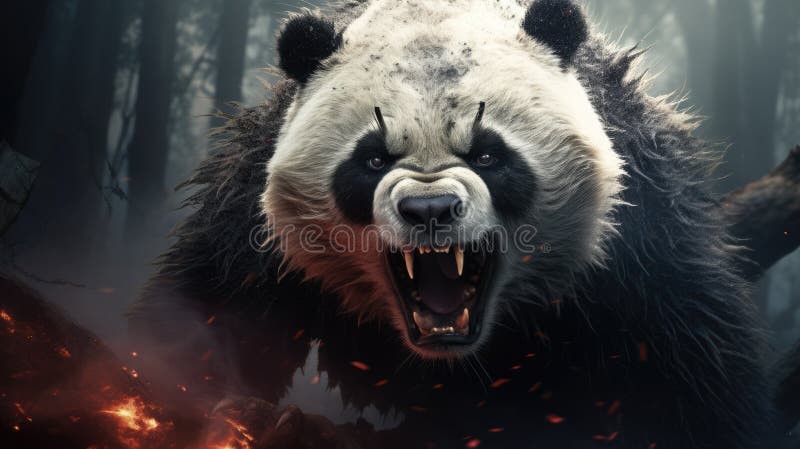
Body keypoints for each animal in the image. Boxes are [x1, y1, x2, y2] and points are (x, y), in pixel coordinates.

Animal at [130, 0, 782, 448]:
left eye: (488, 153)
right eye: (373, 159)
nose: (431, 211)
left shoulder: (639, 233)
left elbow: (687, 362)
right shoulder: (253, 218)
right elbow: (208, 309)